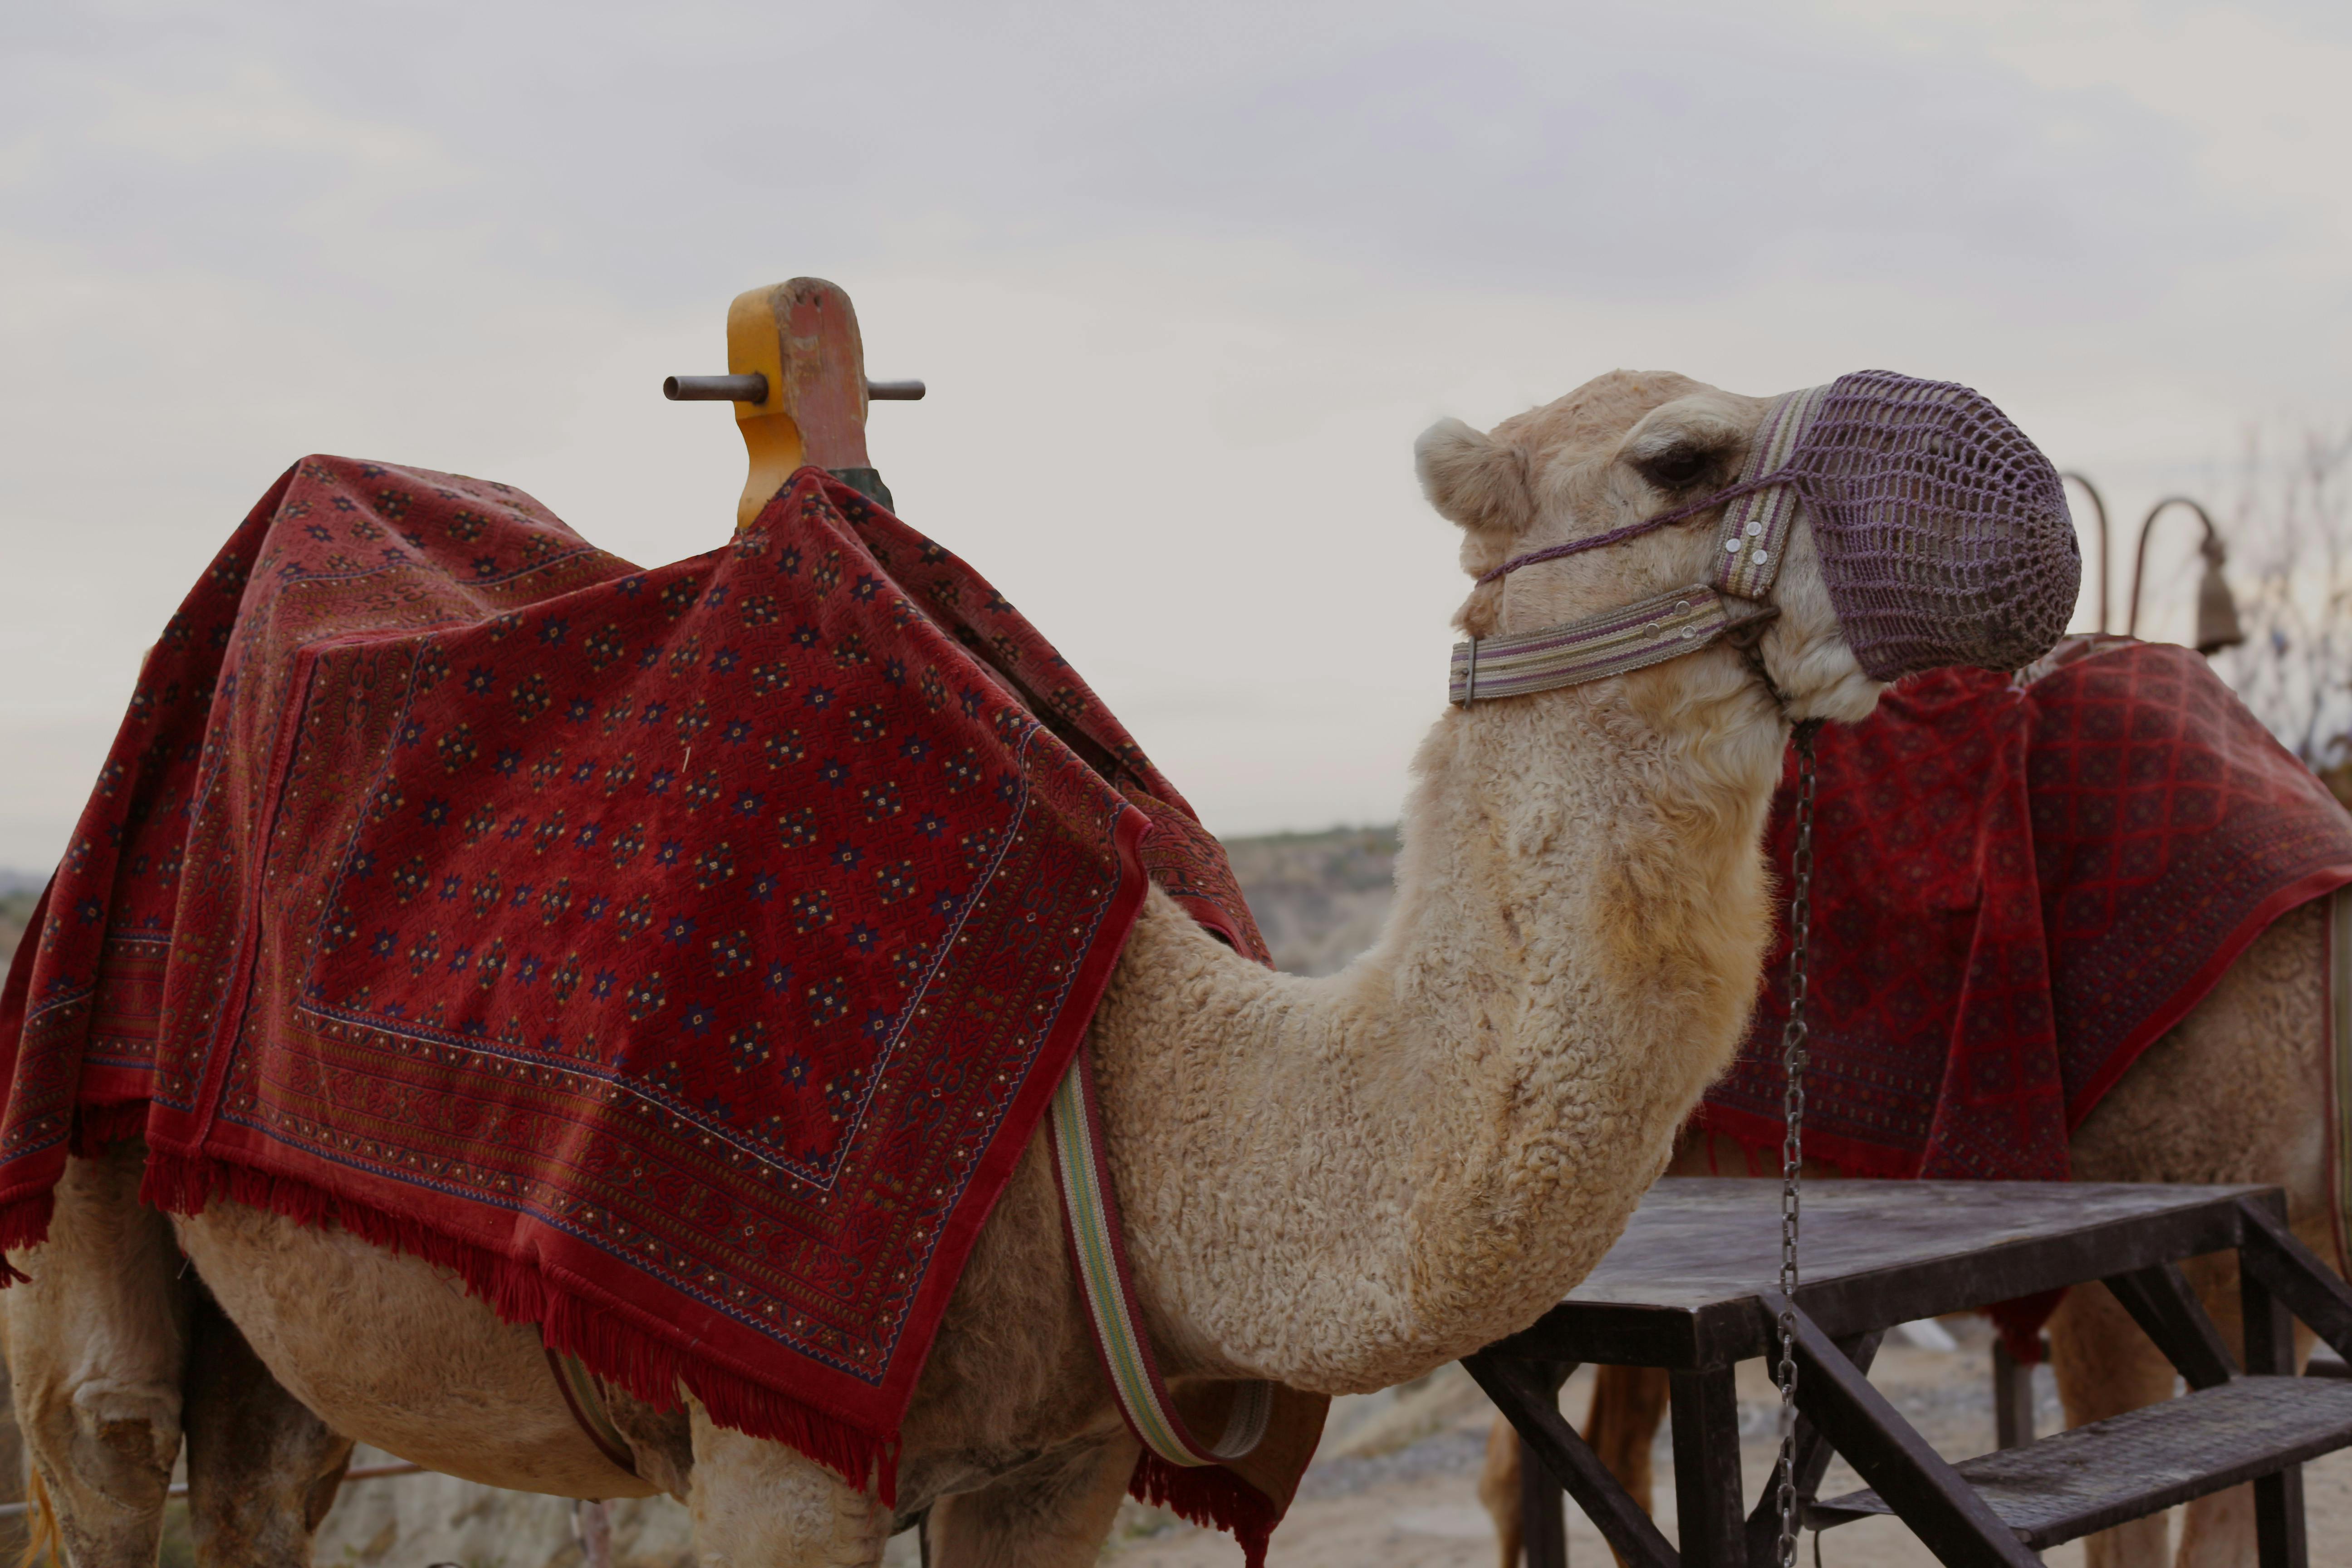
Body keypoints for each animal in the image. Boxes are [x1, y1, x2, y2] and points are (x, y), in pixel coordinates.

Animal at [5, 368, 2054, 1568]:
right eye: (1679, 452)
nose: (2011, 473)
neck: (1134, 1084)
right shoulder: (771, 1456)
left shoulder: (1049, 1466)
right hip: (71, 1194)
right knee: (103, 1446)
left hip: (270, 1342)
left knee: (254, 1484)